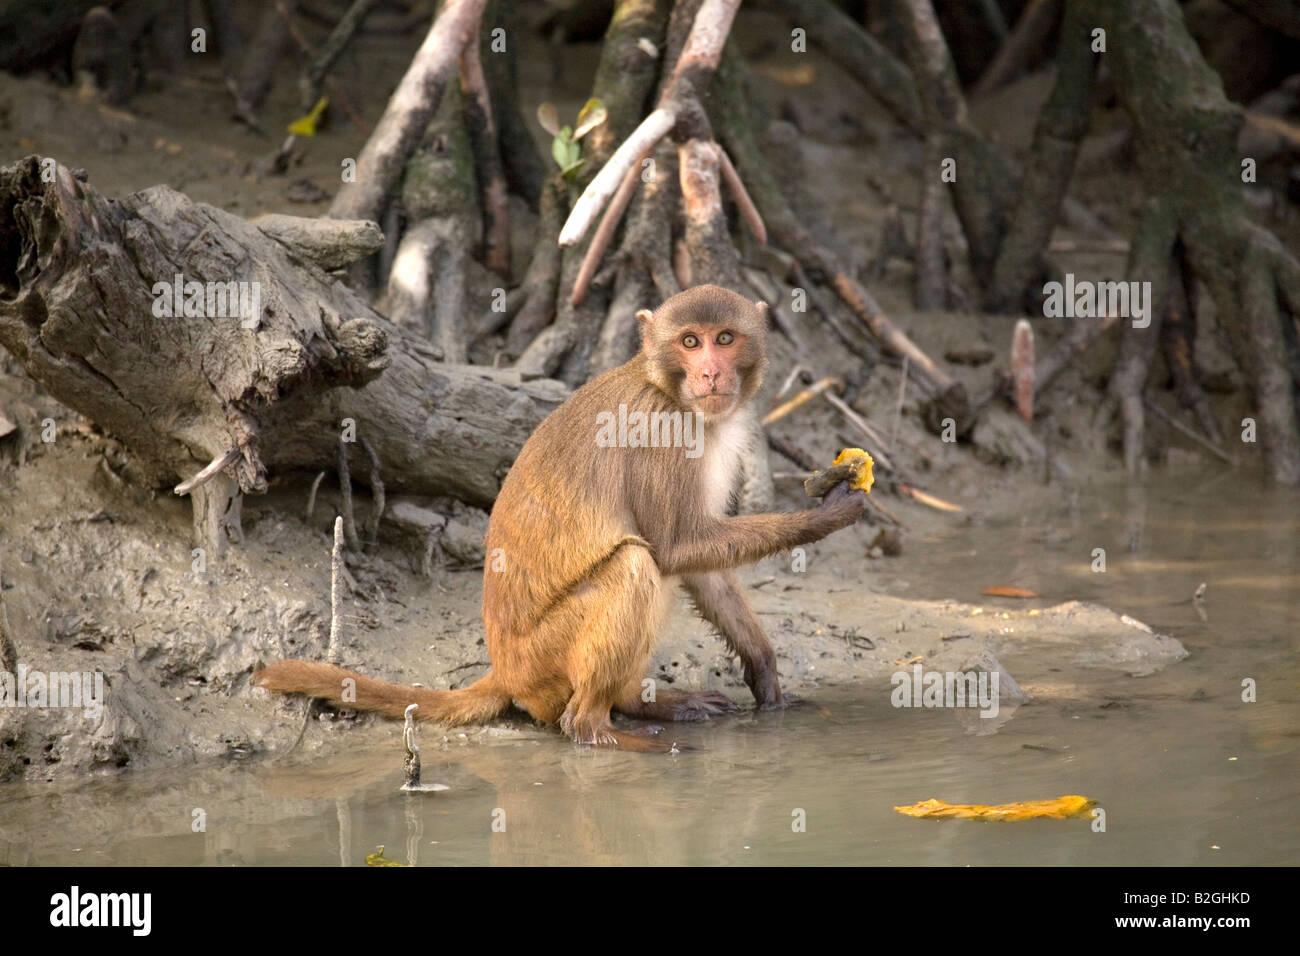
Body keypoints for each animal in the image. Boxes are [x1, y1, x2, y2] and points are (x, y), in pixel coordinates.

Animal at [256, 284, 866, 751]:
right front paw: (824, 515)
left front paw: (766, 673)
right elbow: (675, 546)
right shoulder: (661, 430)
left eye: (726, 338)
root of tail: (506, 669)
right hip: (545, 660)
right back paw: (596, 729)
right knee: (635, 565)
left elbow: (699, 566)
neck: (670, 390)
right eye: (690, 341)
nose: (712, 374)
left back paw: (641, 704)